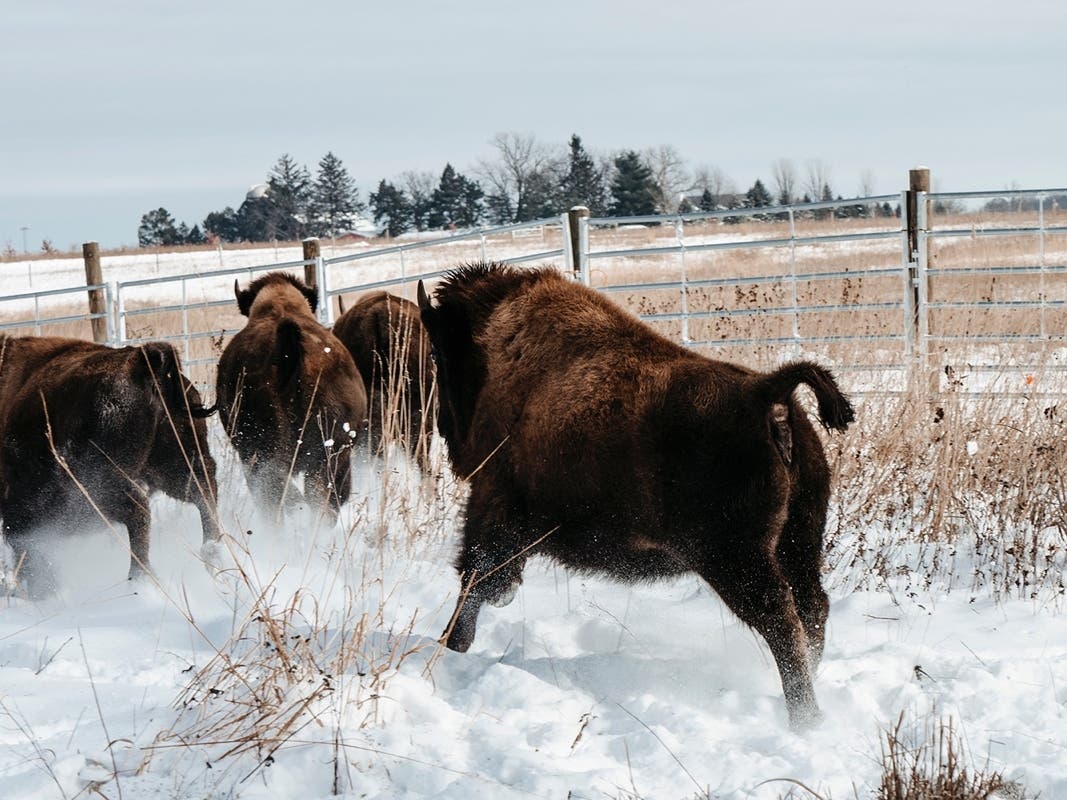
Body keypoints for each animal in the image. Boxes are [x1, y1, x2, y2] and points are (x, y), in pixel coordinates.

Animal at [0, 335, 222, 595]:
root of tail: (141, 360)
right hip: (179, 463)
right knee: (203, 493)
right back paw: (213, 558)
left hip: (100, 486)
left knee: (138, 511)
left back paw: (139, 579)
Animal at [417, 262, 855, 729]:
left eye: (437, 354)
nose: (443, 427)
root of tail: (766, 392)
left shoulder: (492, 504)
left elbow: (474, 578)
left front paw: (451, 644)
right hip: (798, 542)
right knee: (811, 609)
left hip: (736, 560)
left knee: (781, 620)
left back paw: (805, 718)